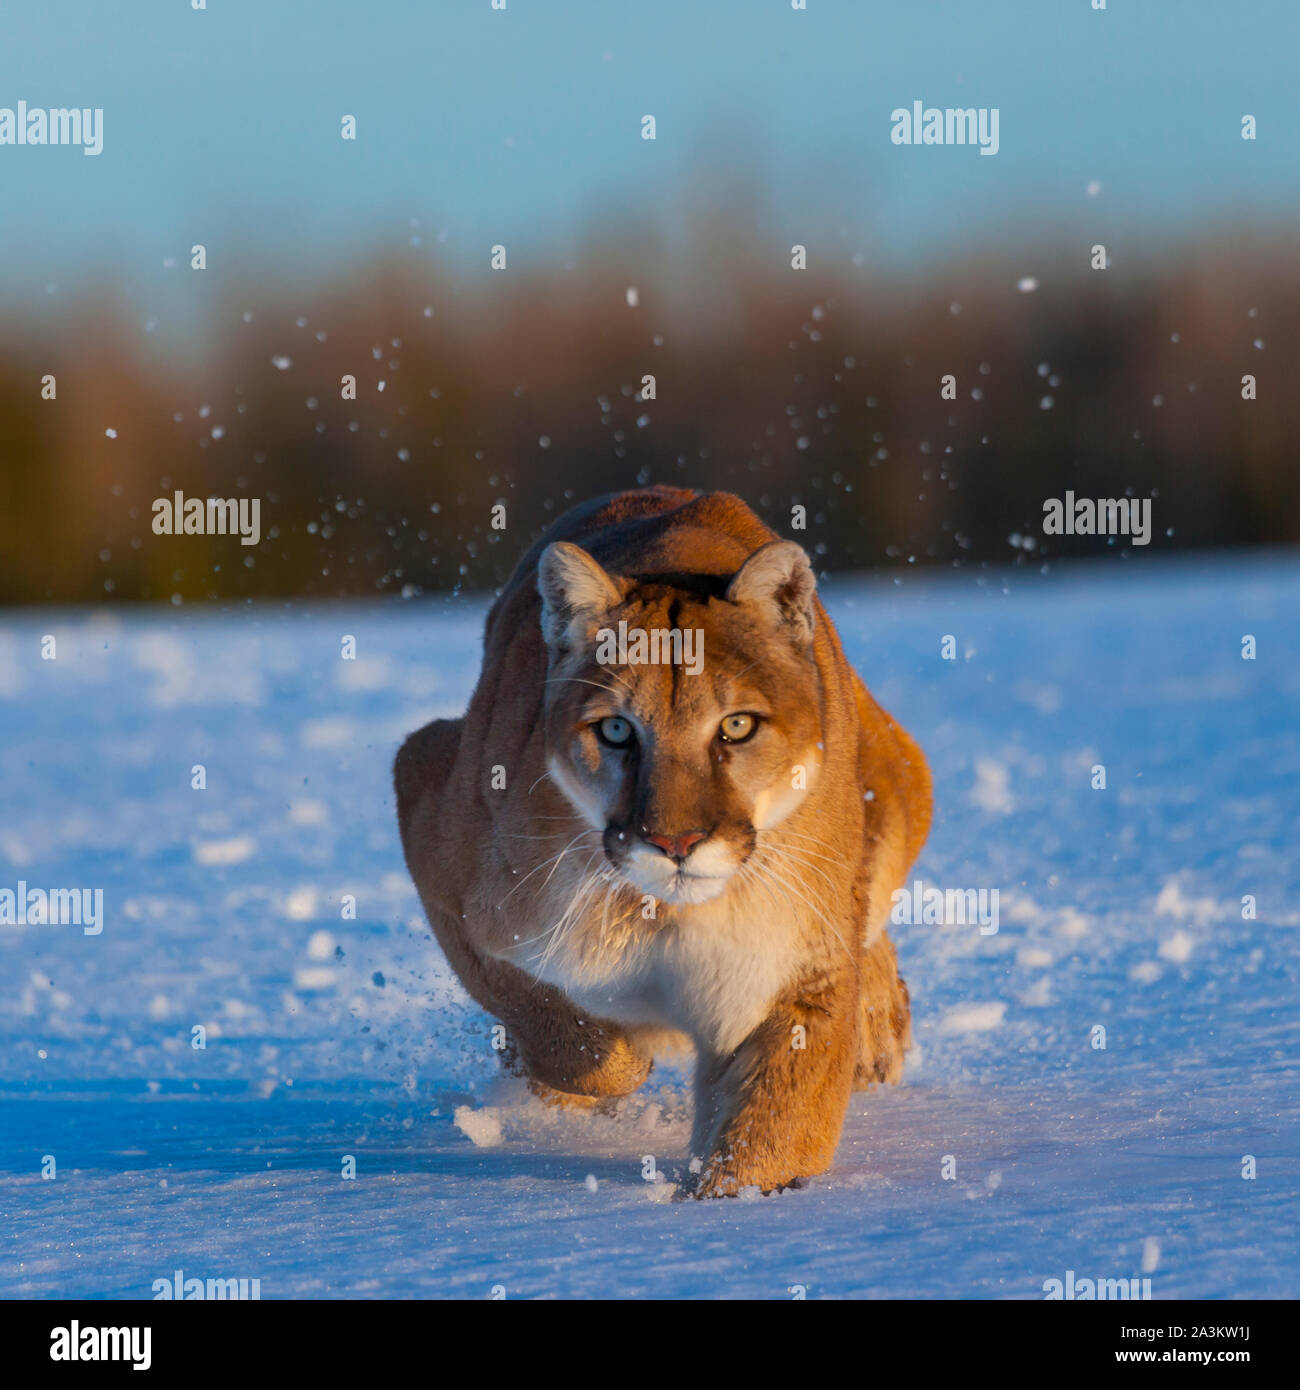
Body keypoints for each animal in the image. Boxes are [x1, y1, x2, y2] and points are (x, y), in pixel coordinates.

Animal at [395, 487, 931, 1197]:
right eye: (617, 730)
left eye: (737, 726)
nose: (677, 842)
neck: (663, 912)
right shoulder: (433, 815)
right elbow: (568, 1034)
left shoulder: (792, 977)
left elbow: (774, 1137)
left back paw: (878, 1031)